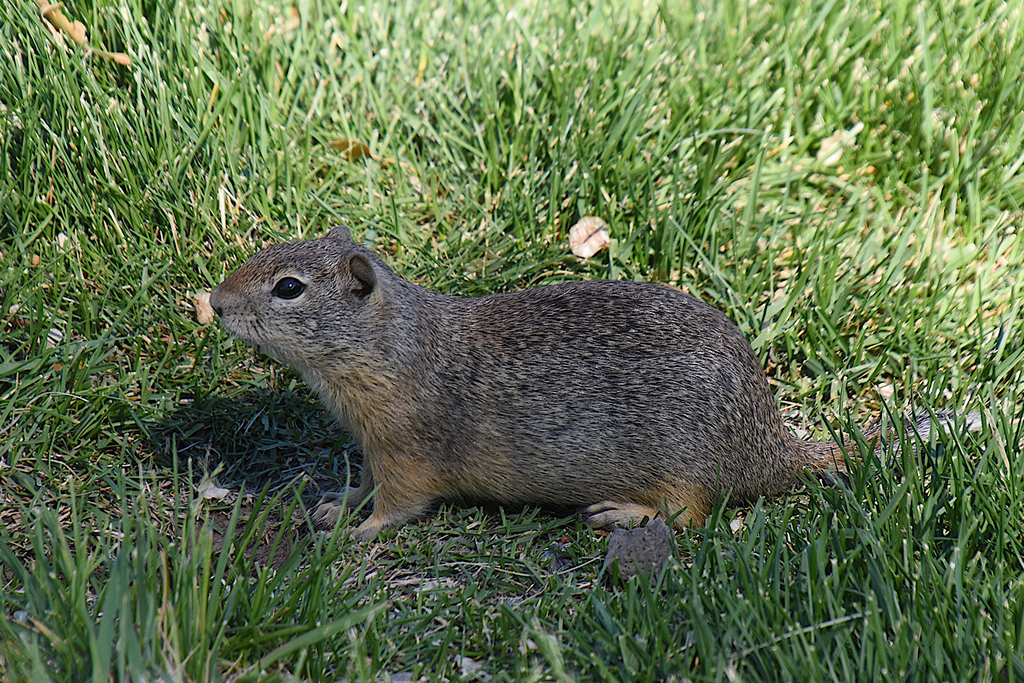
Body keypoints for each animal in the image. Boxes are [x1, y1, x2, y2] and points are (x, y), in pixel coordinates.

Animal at [209, 226, 980, 540]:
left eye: (288, 287)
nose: (214, 303)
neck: (396, 346)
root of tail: (772, 448)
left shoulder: (407, 452)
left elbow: (399, 506)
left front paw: (357, 531)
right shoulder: (373, 446)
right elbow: (362, 482)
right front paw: (335, 503)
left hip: (682, 470)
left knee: (691, 516)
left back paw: (622, 515)